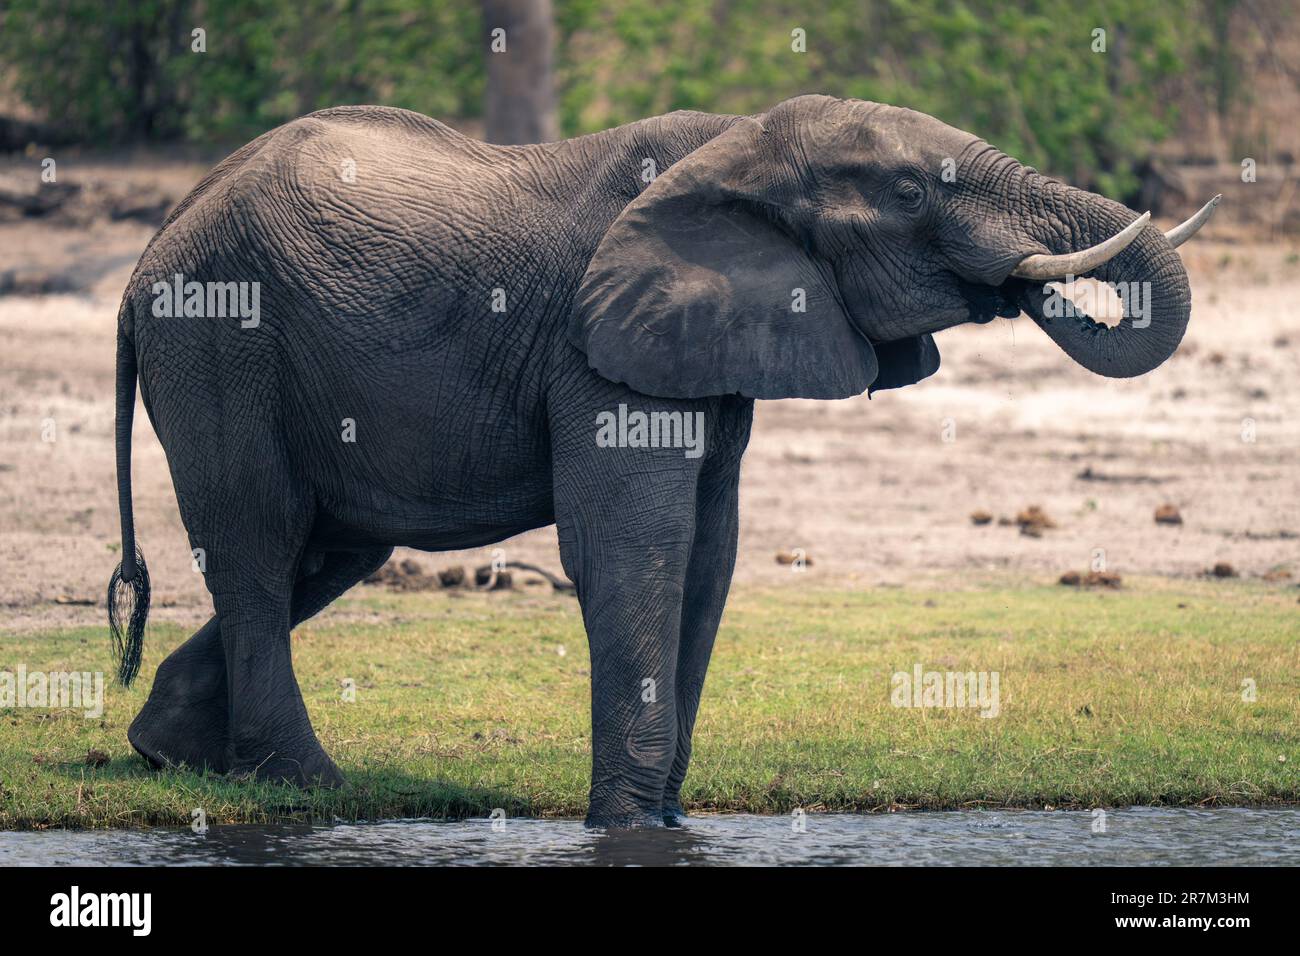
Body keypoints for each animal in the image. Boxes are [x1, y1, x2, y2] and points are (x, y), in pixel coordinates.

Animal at [107, 94, 1217, 828]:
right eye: (909, 192)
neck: (739, 142)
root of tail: (142, 261)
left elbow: (710, 552)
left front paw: (672, 821)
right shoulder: (596, 345)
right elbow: (634, 545)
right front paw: (629, 824)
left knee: (327, 551)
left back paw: (173, 751)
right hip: (221, 341)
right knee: (259, 543)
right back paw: (308, 787)